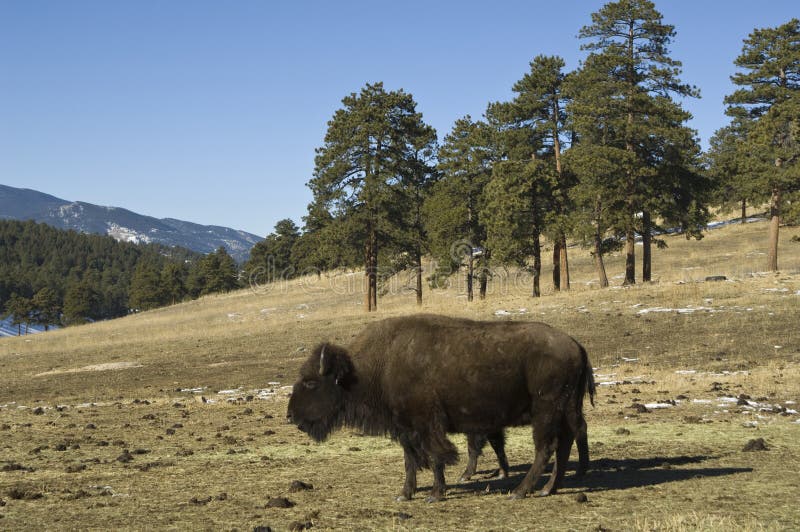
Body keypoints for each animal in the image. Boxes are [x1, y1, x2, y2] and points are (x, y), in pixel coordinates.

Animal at [286, 314, 595, 502]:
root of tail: (575, 345)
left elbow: (436, 457)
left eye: (311, 382)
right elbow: (410, 461)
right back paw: (548, 489)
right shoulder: (406, 430)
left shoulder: (427, 425)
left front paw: (434, 494)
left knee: (546, 447)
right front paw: (405, 494)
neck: (375, 367)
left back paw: (520, 491)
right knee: (567, 440)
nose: (290, 415)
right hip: (566, 409)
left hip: (546, 411)